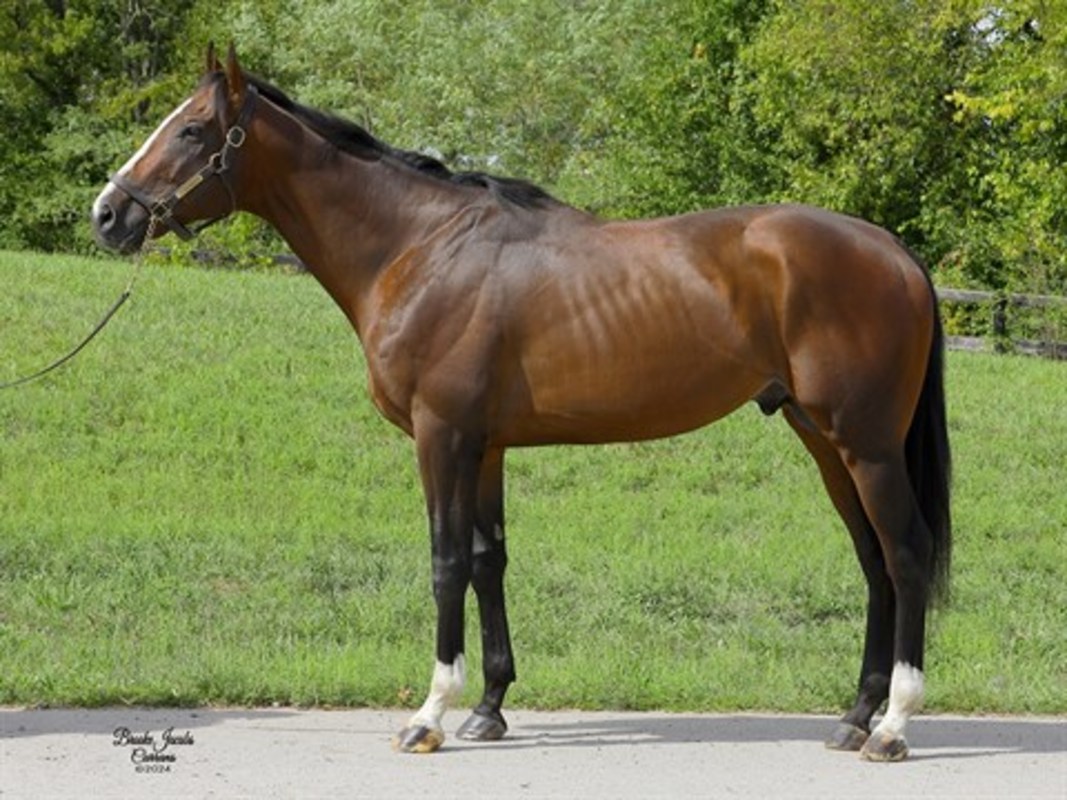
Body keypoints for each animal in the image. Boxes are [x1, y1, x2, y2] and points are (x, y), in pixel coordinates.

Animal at [91, 44, 951, 761]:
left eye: (193, 129)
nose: (108, 213)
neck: (419, 249)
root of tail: (893, 251)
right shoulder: (486, 445)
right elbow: (487, 560)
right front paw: (490, 708)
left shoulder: (440, 437)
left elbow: (444, 564)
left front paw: (430, 716)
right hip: (824, 440)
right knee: (872, 560)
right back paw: (853, 717)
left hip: (865, 445)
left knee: (905, 554)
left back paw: (893, 728)